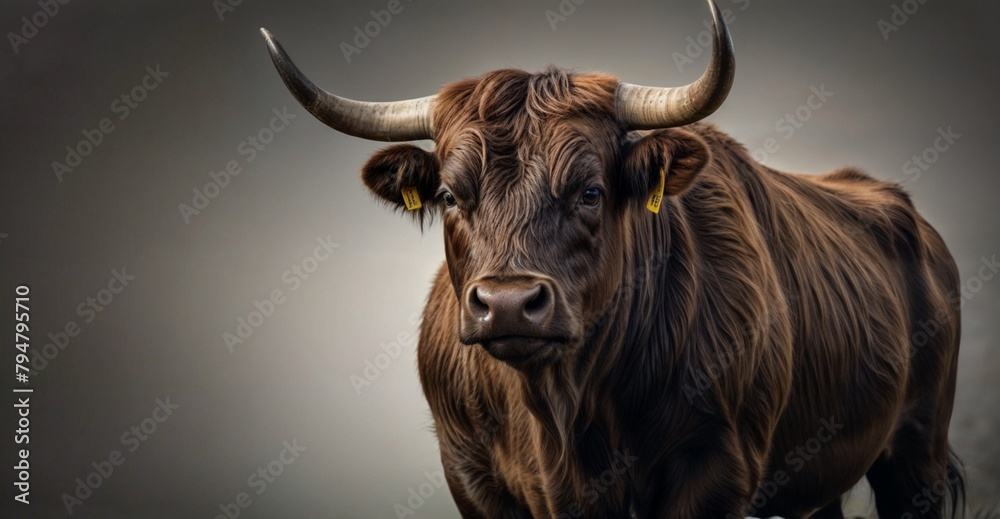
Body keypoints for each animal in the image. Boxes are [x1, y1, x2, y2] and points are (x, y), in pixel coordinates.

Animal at [260, 1, 964, 517]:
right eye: (451, 196)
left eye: (591, 191)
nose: (508, 304)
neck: (566, 415)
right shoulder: (472, 474)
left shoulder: (718, 467)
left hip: (916, 454)